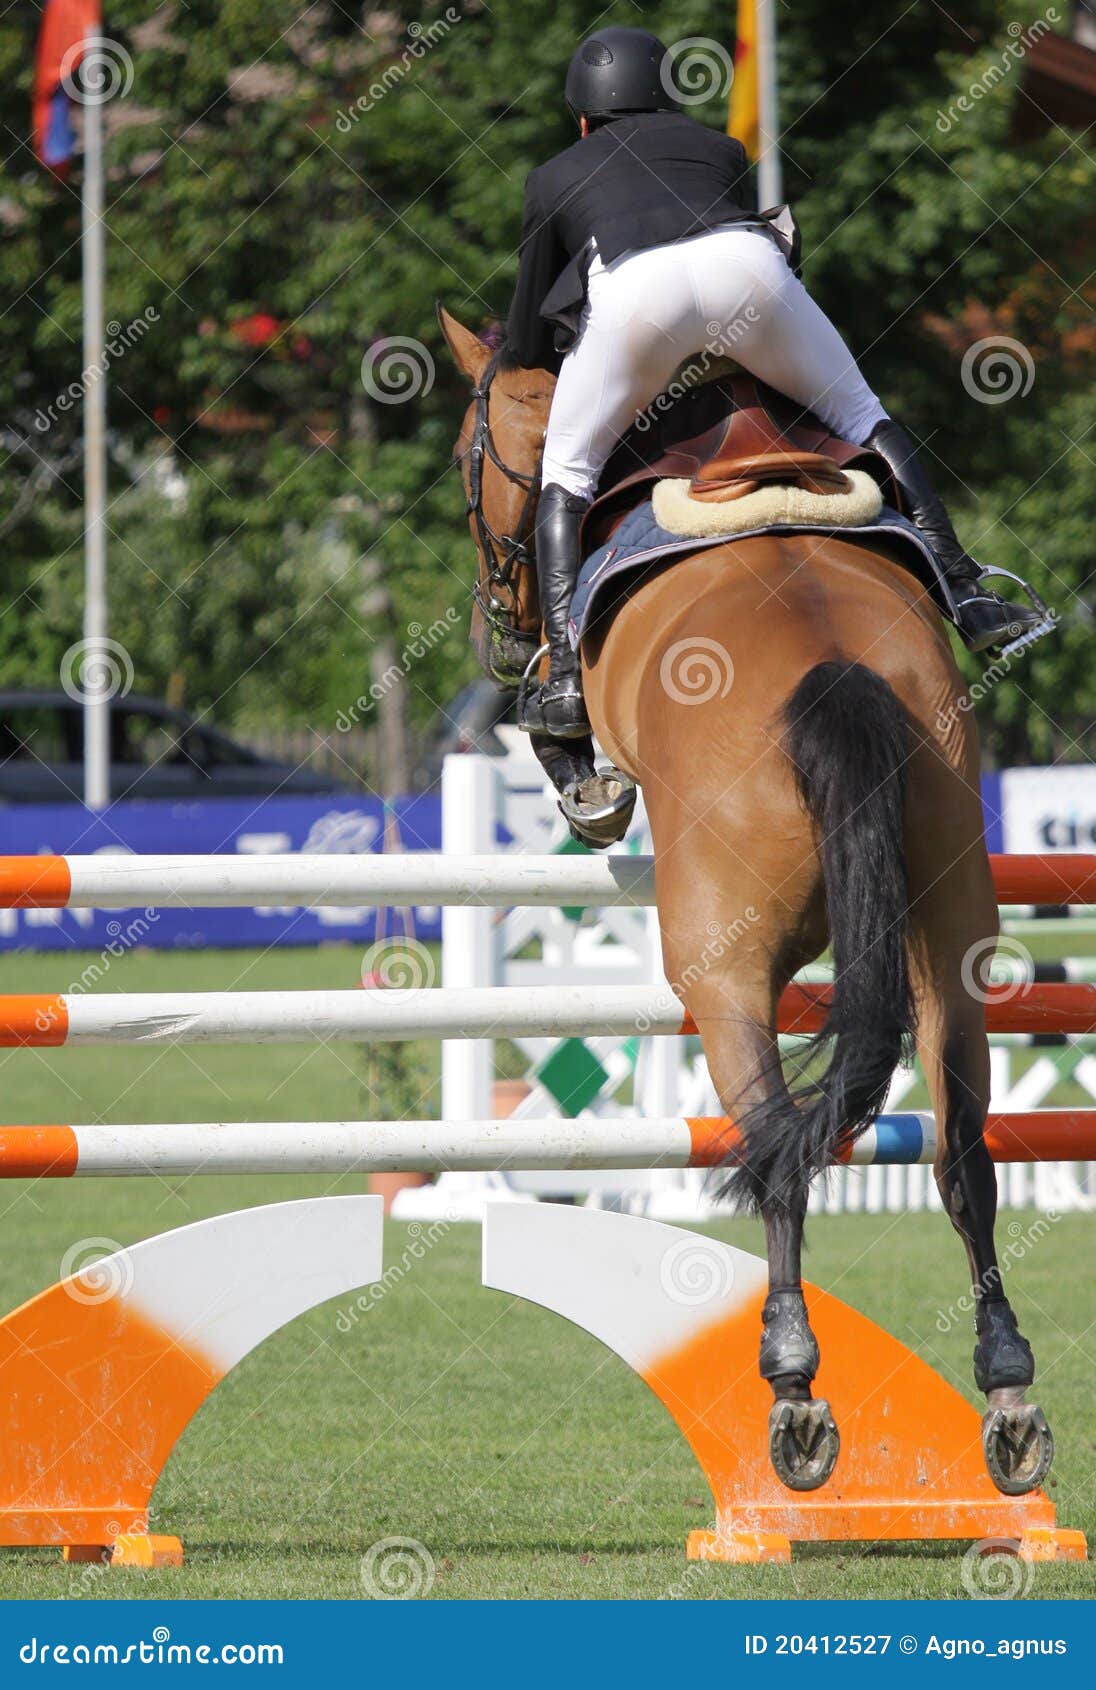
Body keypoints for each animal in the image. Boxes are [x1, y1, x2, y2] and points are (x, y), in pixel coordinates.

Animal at [439, 305, 1054, 1500]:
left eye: (462, 456)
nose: (497, 621)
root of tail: (831, 670)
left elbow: (562, 737)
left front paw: (575, 770)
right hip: (950, 938)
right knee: (962, 1150)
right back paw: (1007, 1397)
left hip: (718, 972)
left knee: (774, 1148)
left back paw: (794, 1391)